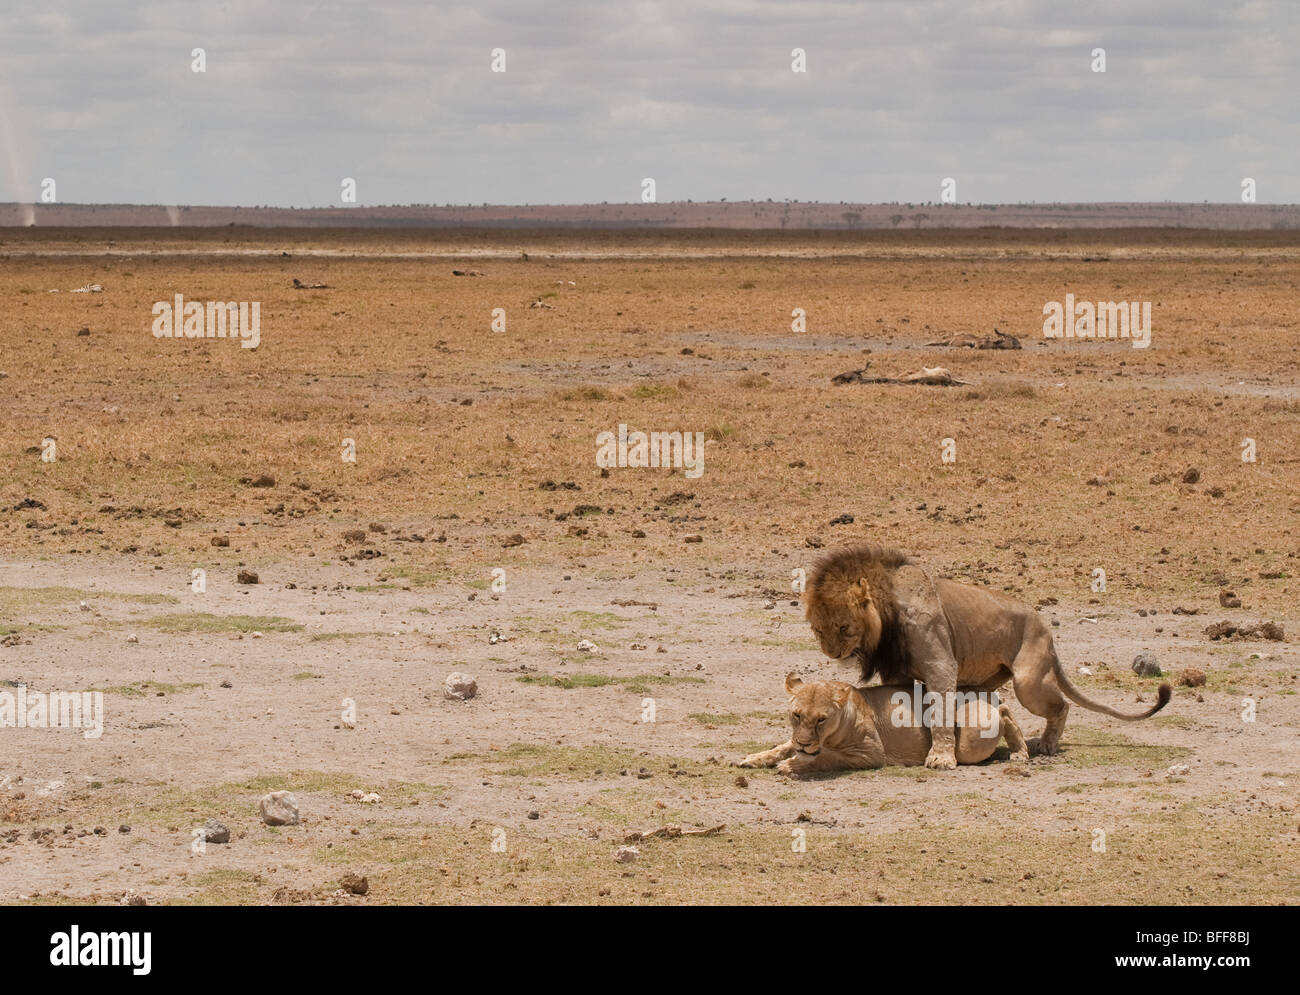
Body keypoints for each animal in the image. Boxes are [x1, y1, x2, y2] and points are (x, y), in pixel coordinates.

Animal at [737, 673, 1029, 775]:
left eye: (821, 719)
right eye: (796, 715)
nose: (805, 743)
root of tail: (984, 691)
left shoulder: (870, 753)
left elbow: (827, 757)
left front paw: (791, 765)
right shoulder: (795, 738)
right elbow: (781, 747)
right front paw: (753, 758)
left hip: (968, 742)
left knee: (1004, 712)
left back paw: (1020, 752)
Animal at [803, 545, 1171, 770]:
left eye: (843, 627)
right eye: (819, 630)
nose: (832, 652)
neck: (887, 608)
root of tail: (1044, 626)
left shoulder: (941, 665)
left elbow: (940, 713)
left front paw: (941, 758)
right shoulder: (897, 673)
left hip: (1028, 680)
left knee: (1062, 705)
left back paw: (1047, 744)